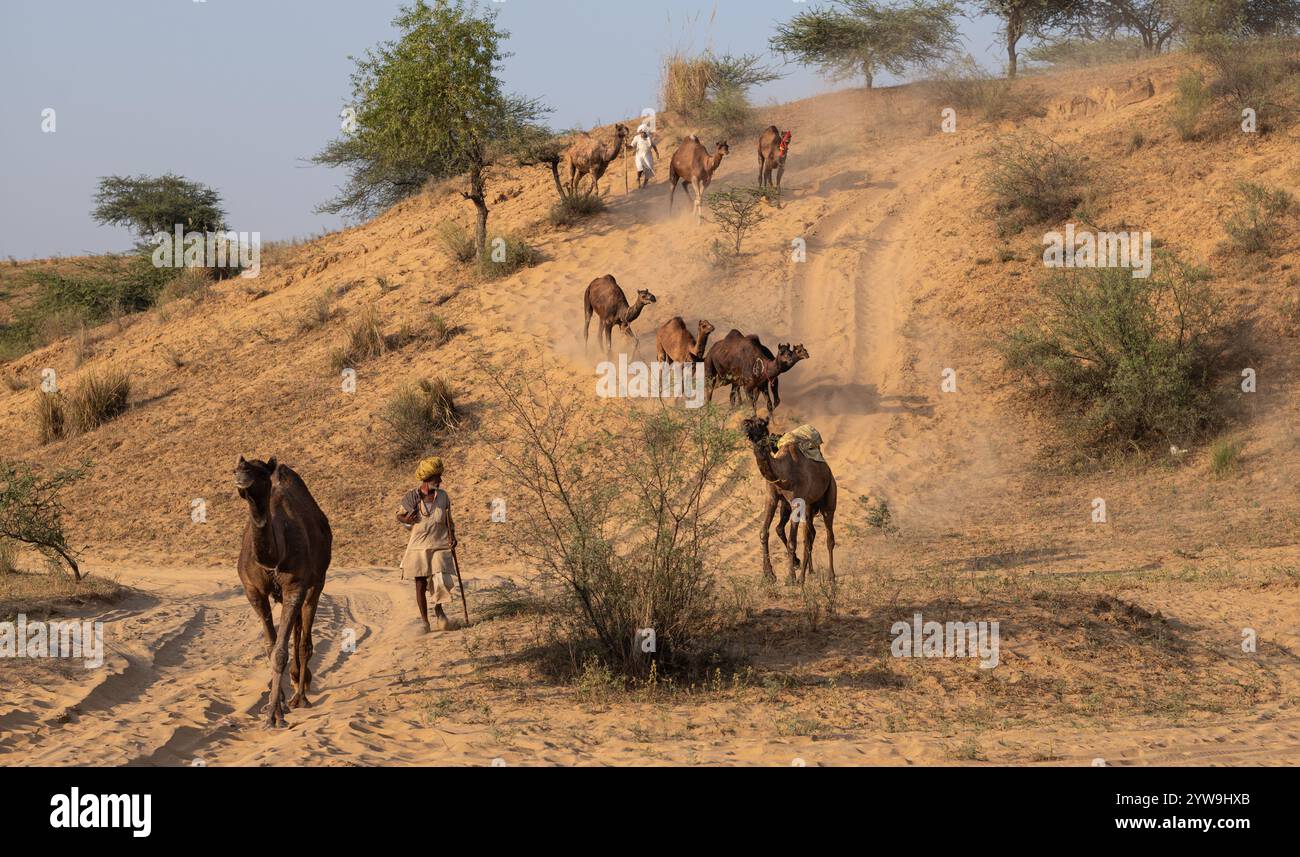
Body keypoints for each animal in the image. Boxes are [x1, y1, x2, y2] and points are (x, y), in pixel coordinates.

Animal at [235, 456, 332, 728]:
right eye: (236, 468)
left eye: (261, 472)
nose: (242, 475)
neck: (274, 555)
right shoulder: (253, 590)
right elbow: (271, 647)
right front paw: (273, 705)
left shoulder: (296, 585)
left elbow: (280, 651)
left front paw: (274, 716)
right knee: (296, 632)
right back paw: (296, 683)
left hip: (318, 582)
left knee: (305, 639)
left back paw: (301, 697)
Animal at [742, 417, 837, 586]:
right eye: (748, 425)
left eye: (762, 427)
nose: (746, 429)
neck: (783, 474)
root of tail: (828, 471)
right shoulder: (772, 497)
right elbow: (763, 532)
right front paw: (769, 575)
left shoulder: (796, 502)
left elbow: (793, 541)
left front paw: (791, 577)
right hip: (807, 506)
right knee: (809, 534)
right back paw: (808, 572)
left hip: (829, 497)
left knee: (829, 537)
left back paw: (831, 577)